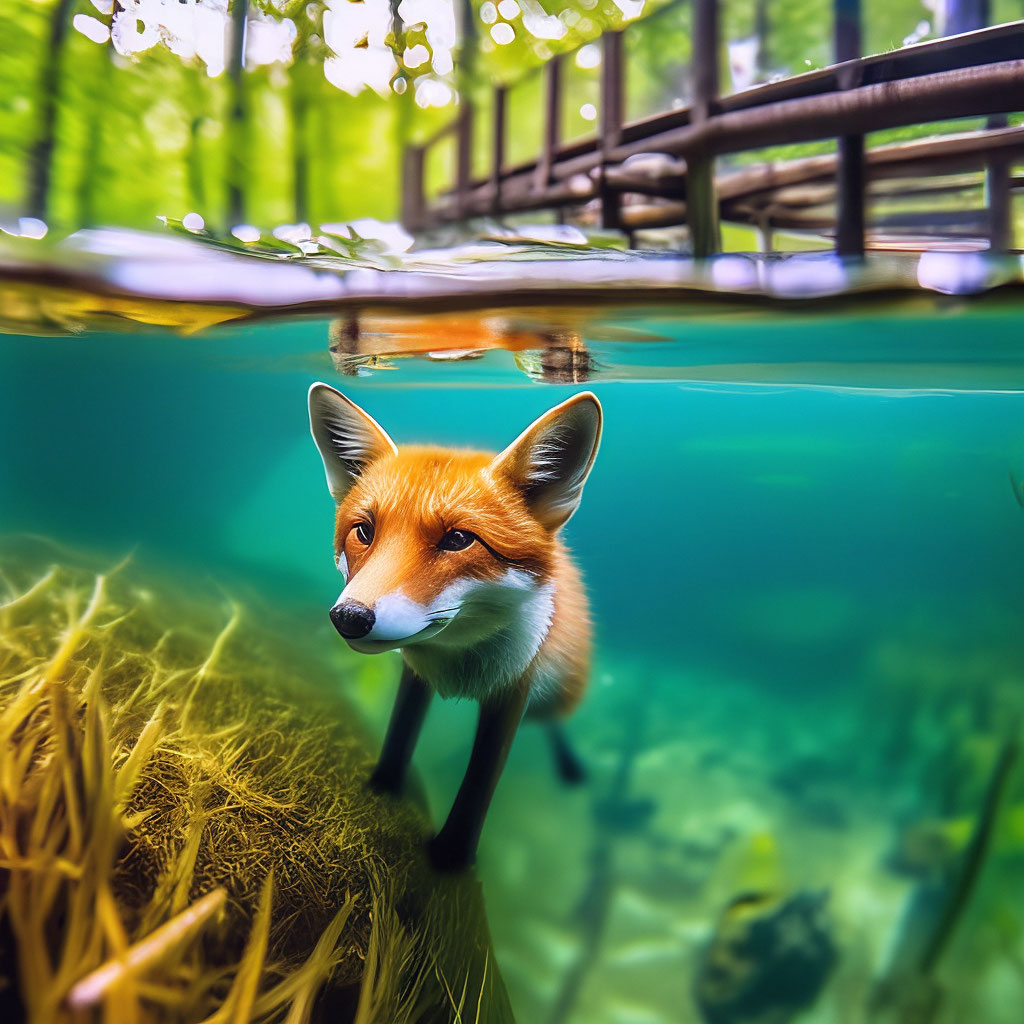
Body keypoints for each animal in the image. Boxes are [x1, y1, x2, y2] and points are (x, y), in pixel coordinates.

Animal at [307, 382, 602, 872]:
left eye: (459, 539)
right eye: (364, 532)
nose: (349, 617)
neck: (459, 661)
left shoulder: (513, 692)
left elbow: (479, 782)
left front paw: (451, 857)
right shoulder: (414, 674)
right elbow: (400, 732)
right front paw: (383, 786)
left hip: (557, 692)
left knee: (554, 724)